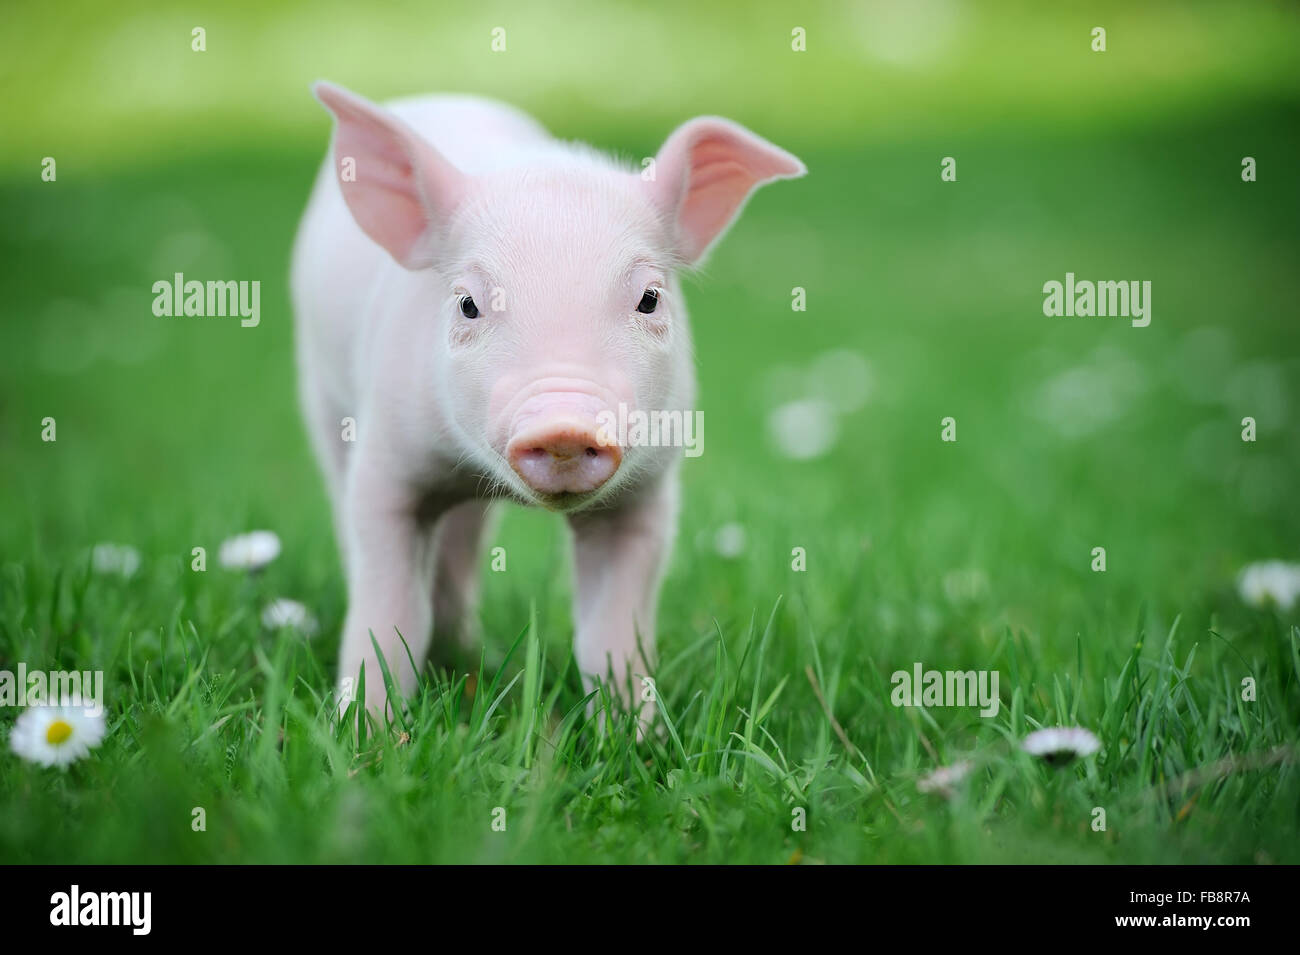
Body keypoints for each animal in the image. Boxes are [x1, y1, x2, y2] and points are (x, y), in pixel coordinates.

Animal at [290, 81, 804, 721]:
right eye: (467, 304)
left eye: (650, 297)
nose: (564, 425)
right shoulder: (387, 459)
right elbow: (387, 611)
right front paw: (366, 731)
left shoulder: (646, 494)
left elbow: (611, 632)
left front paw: (634, 734)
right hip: (320, 394)